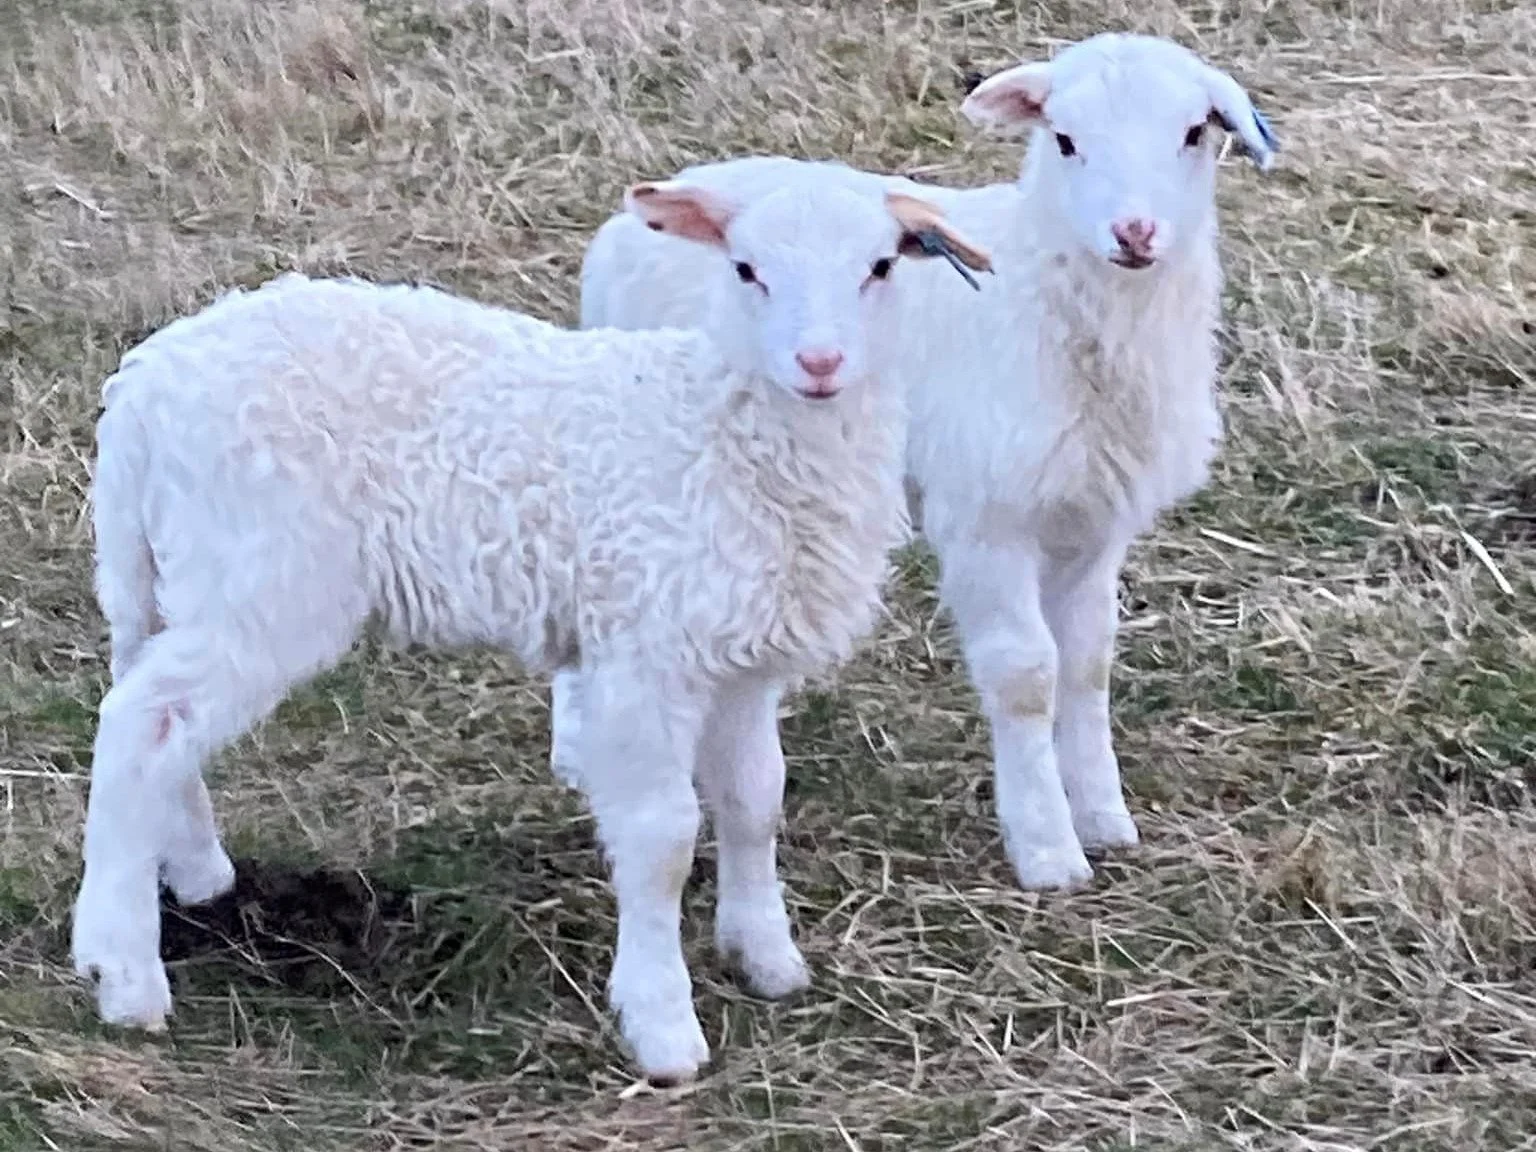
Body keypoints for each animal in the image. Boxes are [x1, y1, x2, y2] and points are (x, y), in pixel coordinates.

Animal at [69, 178, 993, 1085]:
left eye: (880, 266)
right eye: (745, 269)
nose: (820, 364)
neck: (725, 430)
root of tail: (140, 394)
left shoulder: (741, 659)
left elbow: (756, 800)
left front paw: (766, 956)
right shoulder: (644, 652)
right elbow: (662, 837)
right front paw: (664, 1025)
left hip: (193, 582)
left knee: (158, 720)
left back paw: (193, 874)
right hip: (263, 579)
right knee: (139, 723)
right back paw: (123, 973)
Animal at [551, 32, 1280, 891]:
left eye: (1195, 133)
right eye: (1066, 141)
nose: (1134, 233)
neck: (1043, 299)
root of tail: (629, 219)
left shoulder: (1094, 519)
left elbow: (1088, 664)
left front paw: (1104, 815)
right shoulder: (986, 516)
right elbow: (1026, 677)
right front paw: (1047, 847)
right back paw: (577, 752)